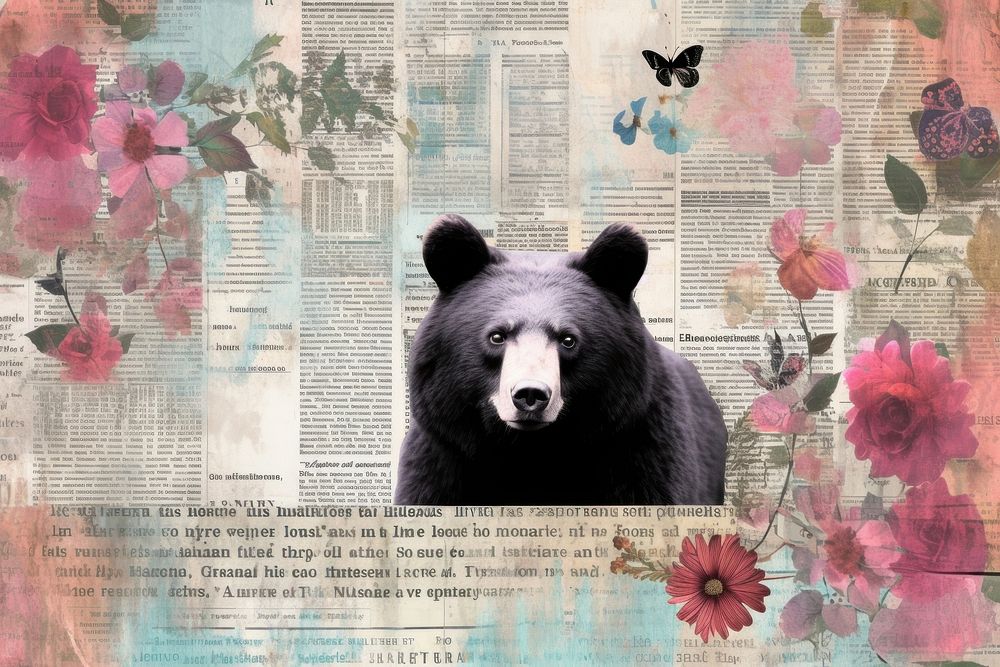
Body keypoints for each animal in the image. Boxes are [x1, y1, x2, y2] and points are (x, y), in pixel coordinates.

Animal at [394, 214, 727, 505]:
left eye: (568, 340)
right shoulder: (442, 459)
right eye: (497, 336)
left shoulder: (642, 449)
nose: (530, 394)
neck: (537, 454)